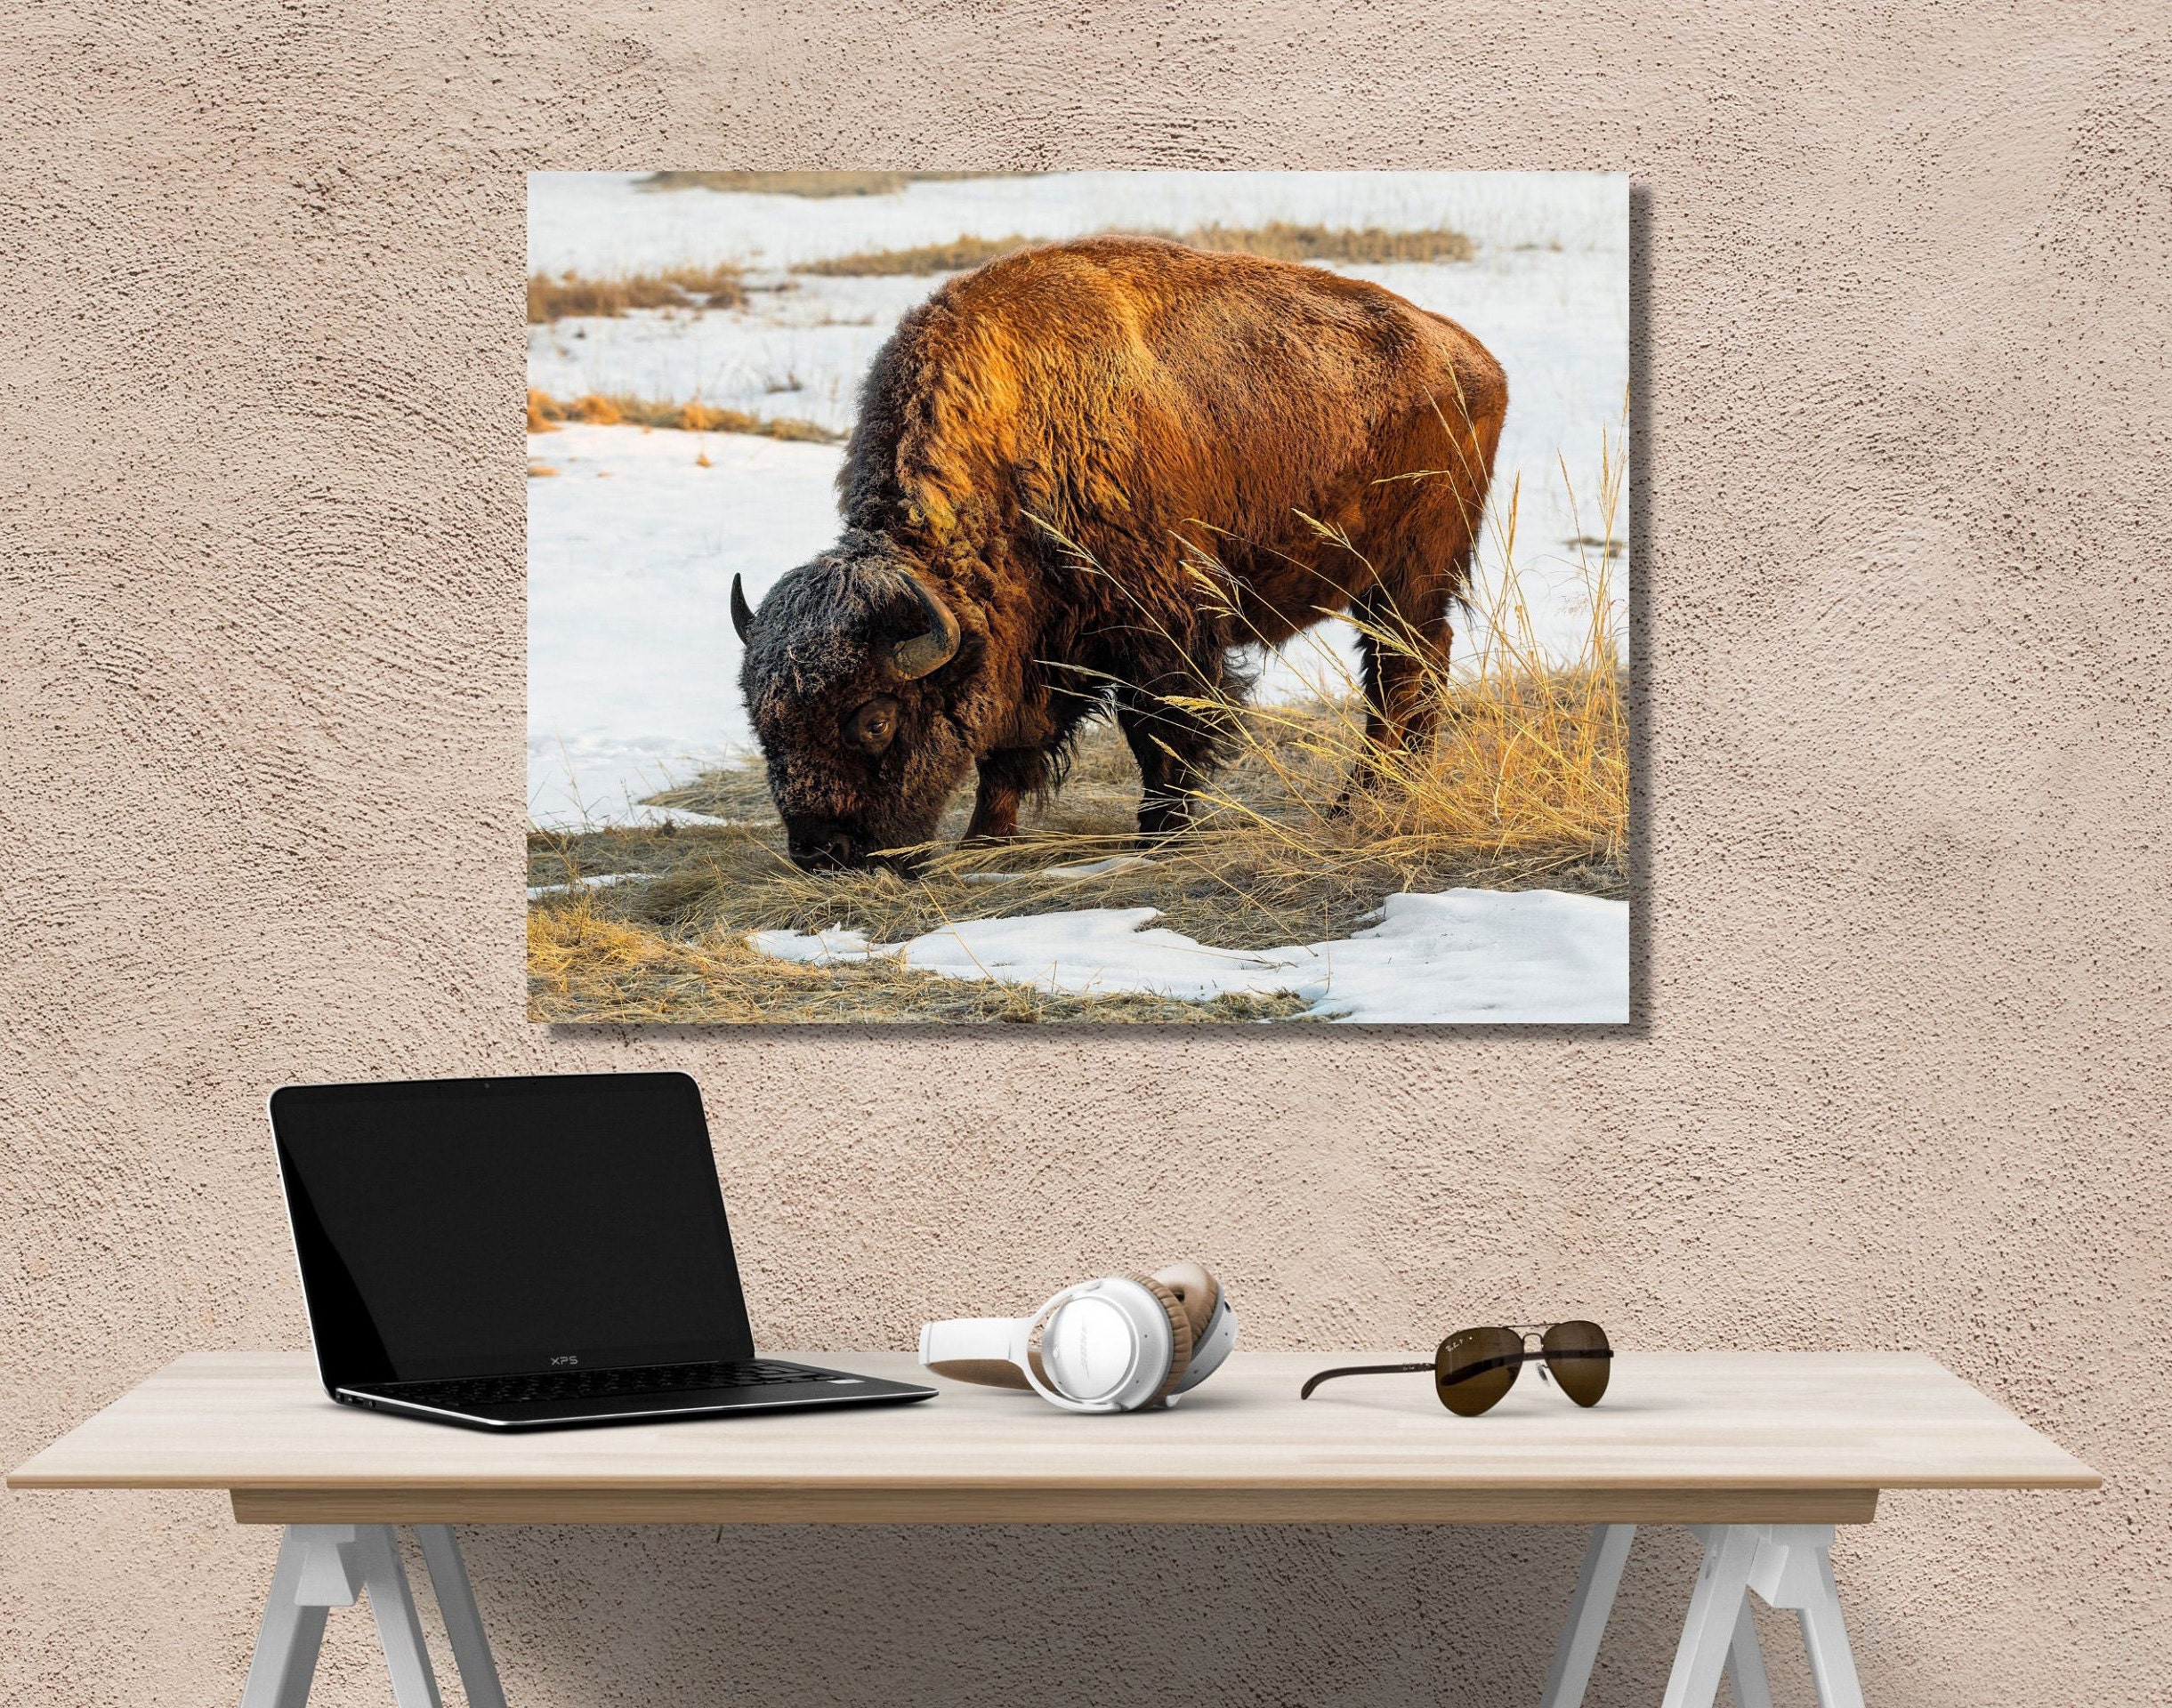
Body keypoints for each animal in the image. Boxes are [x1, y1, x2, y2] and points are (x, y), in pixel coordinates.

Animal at [733, 234, 1506, 870]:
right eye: (762, 720)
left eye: (874, 719)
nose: (822, 852)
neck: (1009, 444)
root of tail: (1468, 356)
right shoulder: (1038, 645)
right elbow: (1009, 751)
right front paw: (985, 839)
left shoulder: (1159, 625)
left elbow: (1161, 728)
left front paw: (1159, 836)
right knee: (1404, 676)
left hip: (1406, 579)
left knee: (1402, 675)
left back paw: (1362, 802)